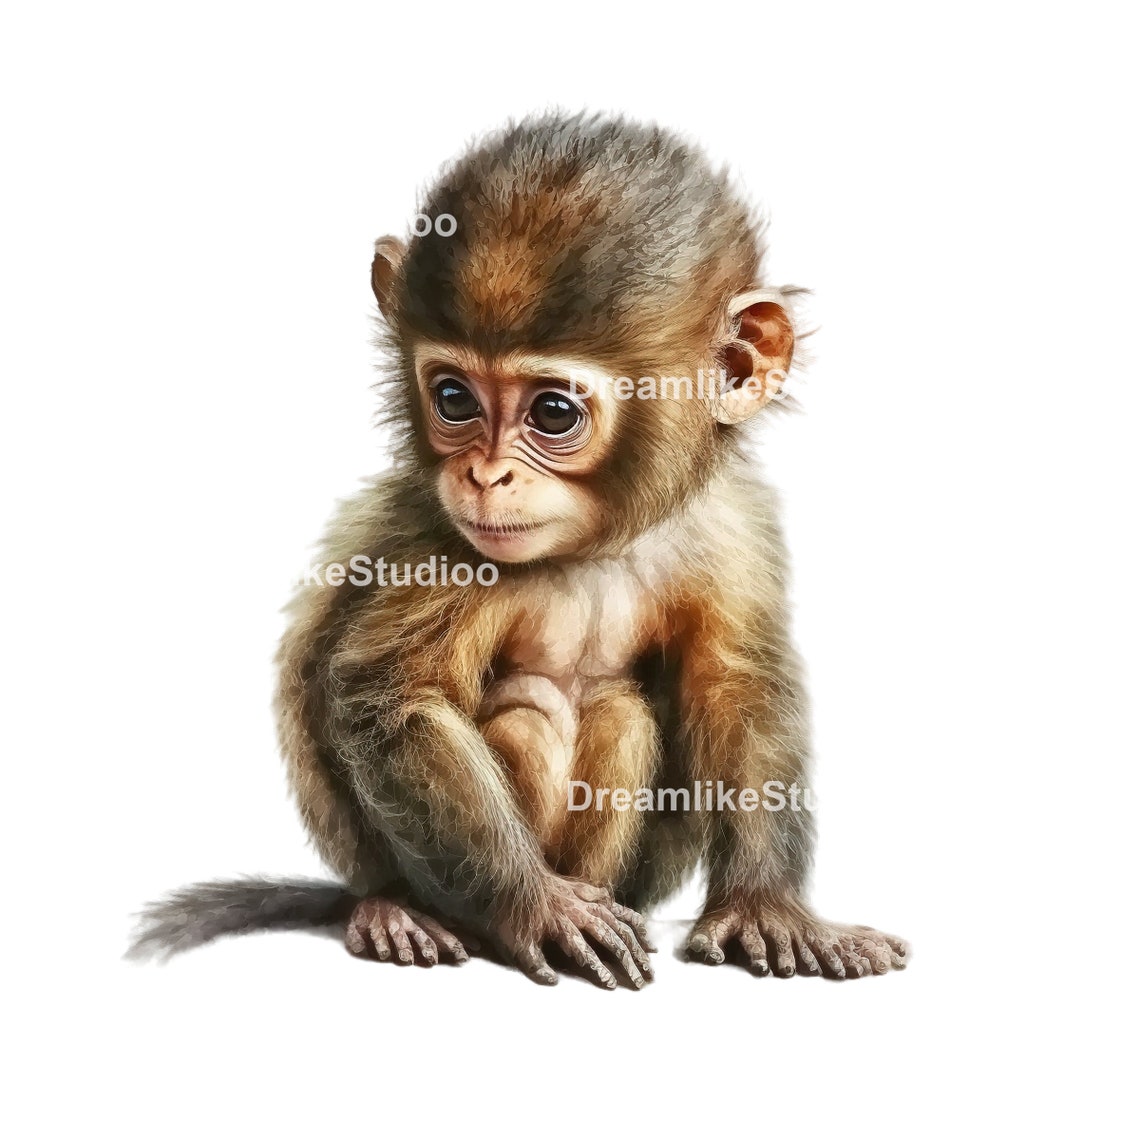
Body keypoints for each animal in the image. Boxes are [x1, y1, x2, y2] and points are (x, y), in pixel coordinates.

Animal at [132, 111, 907, 988]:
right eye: (453, 398)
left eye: (553, 414)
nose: (484, 475)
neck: (598, 542)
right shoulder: (439, 540)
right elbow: (392, 699)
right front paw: (533, 906)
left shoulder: (732, 523)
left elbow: (737, 687)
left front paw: (766, 908)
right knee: (534, 710)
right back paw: (409, 909)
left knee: (618, 714)